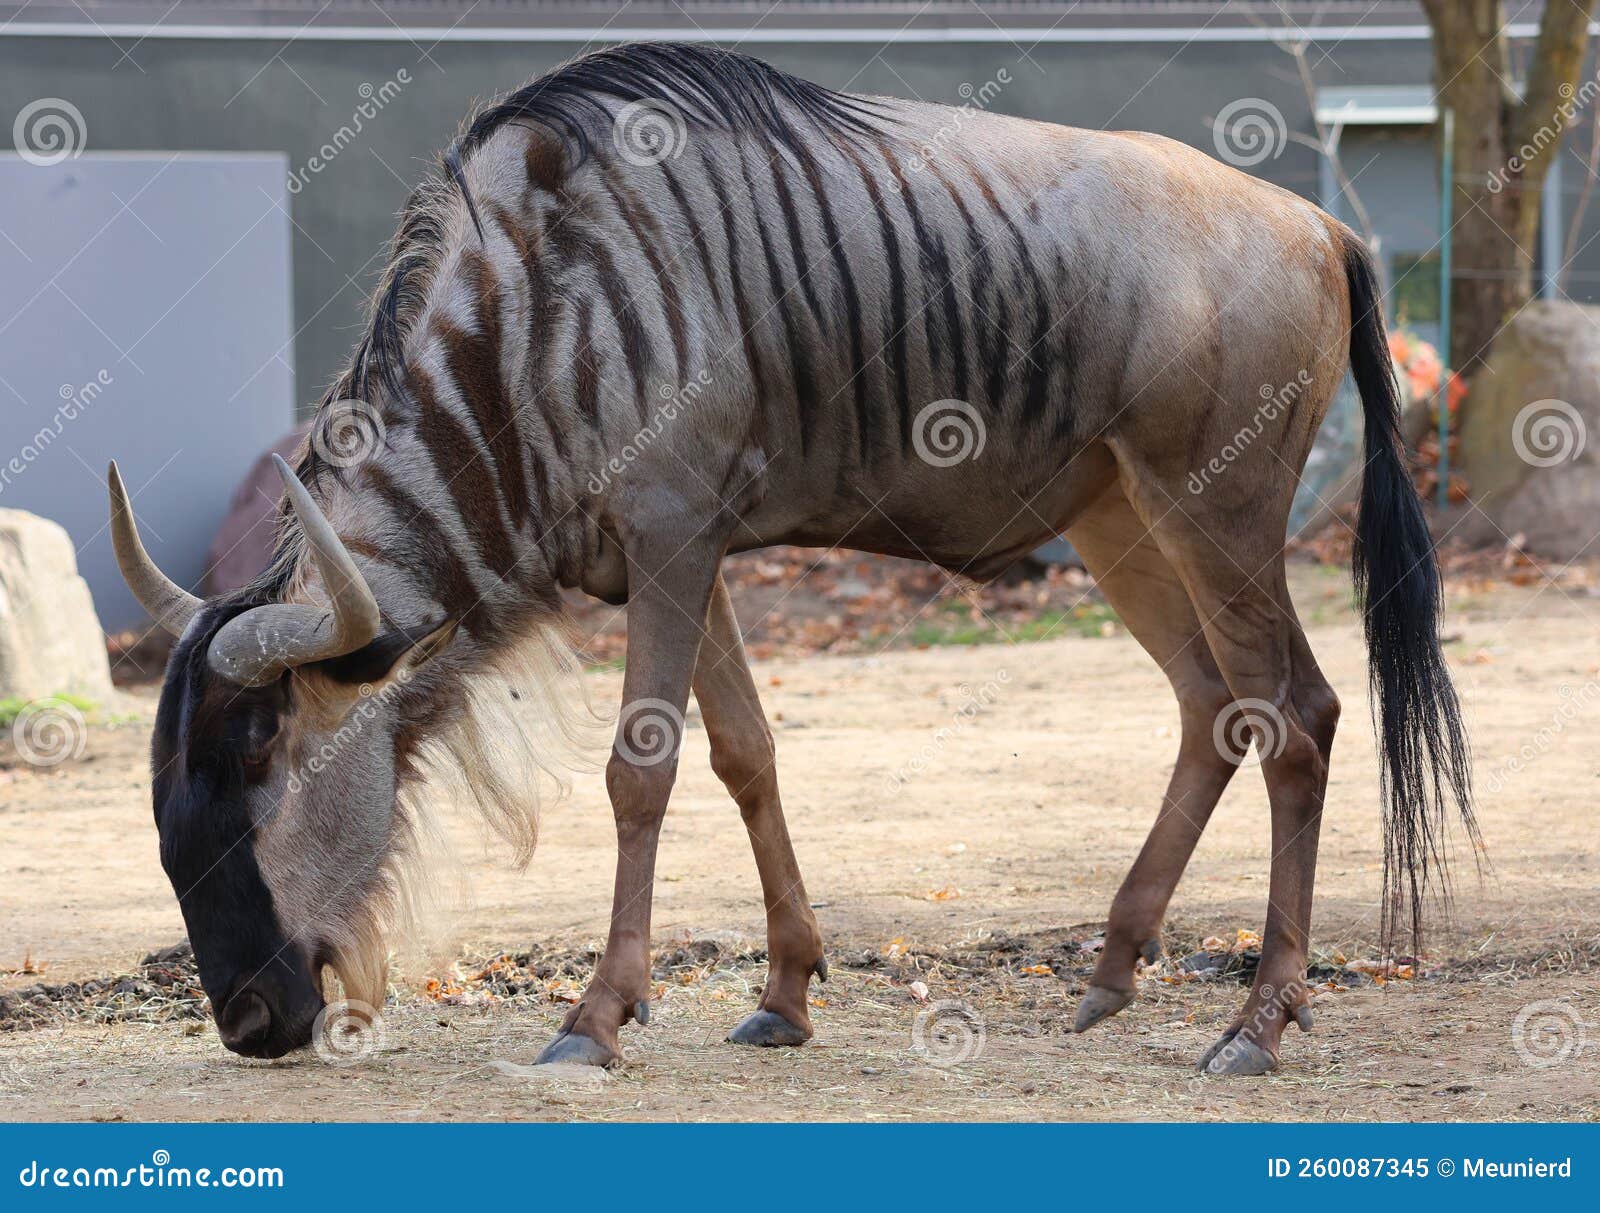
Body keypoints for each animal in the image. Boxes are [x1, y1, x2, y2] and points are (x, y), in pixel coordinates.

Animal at [110, 42, 1471, 1076]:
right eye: (167, 776)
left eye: (257, 748)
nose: (248, 1022)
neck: (534, 320)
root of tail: (1320, 225)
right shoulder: (678, 552)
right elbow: (743, 756)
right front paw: (783, 995)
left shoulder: (671, 539)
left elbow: (640, 774)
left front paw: (597, 1017)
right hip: (1118, 519)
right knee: (1211, 707)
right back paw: (1111, 968)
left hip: (1215, 510)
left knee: (1296, 714)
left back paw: (1257, 1024)